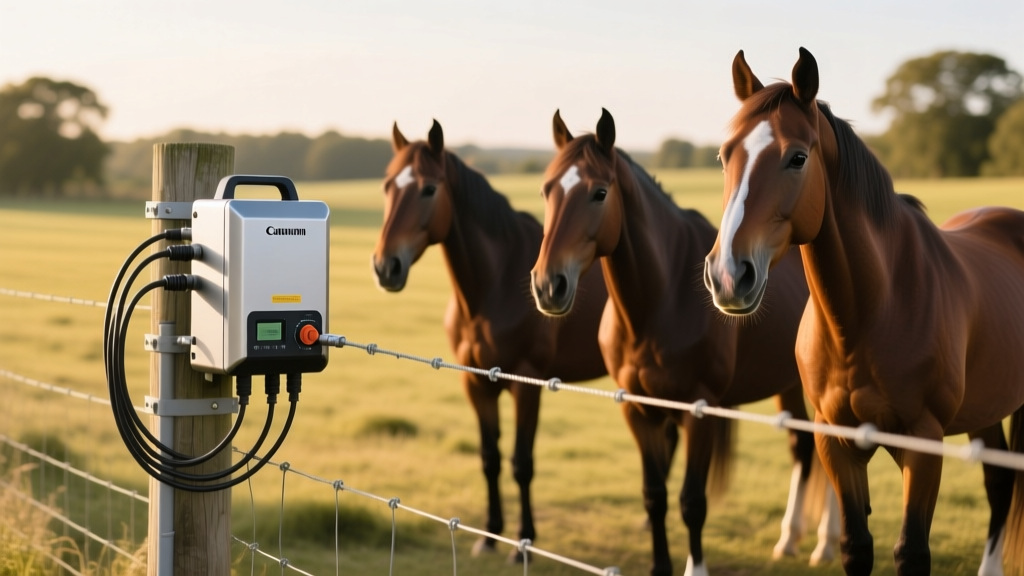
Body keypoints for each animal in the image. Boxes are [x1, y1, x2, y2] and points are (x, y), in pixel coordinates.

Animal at [372, 120, 609, 561]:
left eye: (429, 188)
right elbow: (489, 458)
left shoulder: (526, 384)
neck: (494, 285)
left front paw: (523, 544)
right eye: (387, 186)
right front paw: (489, 535)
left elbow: (521, 462)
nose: (385, 266)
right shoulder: (475, 382)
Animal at [530, 108, 839, 576]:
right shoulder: (638, 411)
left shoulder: (701, 409)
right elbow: (654, 496)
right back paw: (789, 539)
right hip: (788, 385)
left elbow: (692, 501)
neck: (661, 302)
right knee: (802, 448)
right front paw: (660, 566)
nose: (549, 286)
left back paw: (825, 543)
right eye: (547, 190)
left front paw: (696, 567)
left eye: (599, 193)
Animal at [703, 47, 1024, 576]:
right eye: (724, 155)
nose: (729, 275)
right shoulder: (837, 443)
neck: (871, 312)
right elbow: (856, 545)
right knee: (998, 482)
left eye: (797, 157)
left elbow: (911, 551)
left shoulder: (923, 443)